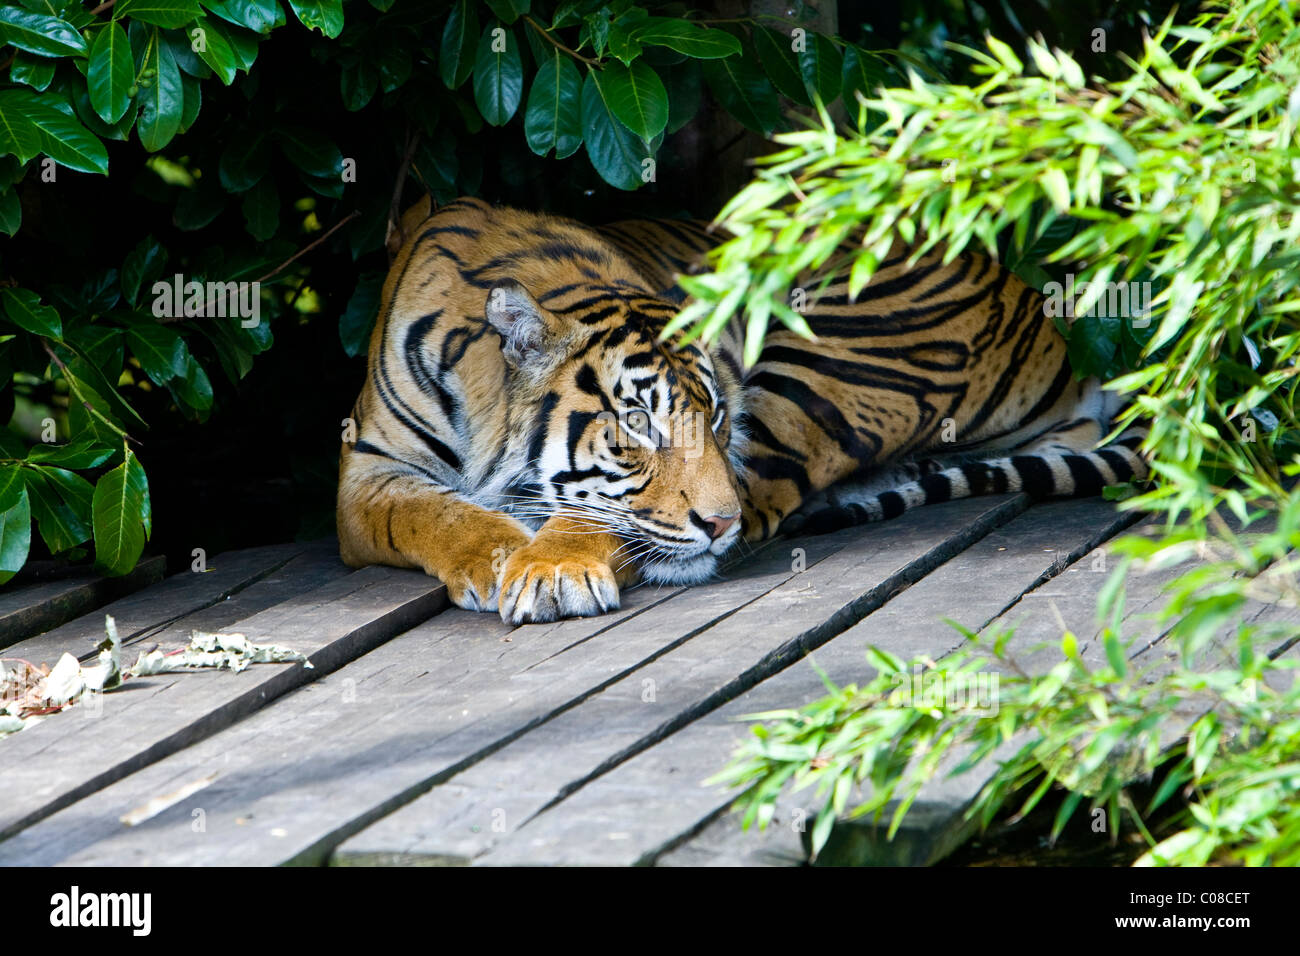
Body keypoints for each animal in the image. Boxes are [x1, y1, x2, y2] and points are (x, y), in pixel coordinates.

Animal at [336, 195, 1147, 625]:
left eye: (719, 417)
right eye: (637, 424)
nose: (715, 524)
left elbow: (600, 512)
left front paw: (549, 567)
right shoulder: (366, 471)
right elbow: (428, 514)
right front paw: (499, 554)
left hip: (821, 353)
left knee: (767, 498)